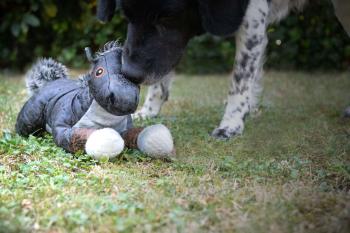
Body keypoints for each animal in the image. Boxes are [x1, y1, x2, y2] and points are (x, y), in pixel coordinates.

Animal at [95, 0, 350, 138]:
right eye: (125, 15)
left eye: (167, 18)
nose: (129, 74)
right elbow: (160, 78)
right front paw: (149, 110)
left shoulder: (252, 22)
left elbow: (240, 78)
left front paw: (231, 123)